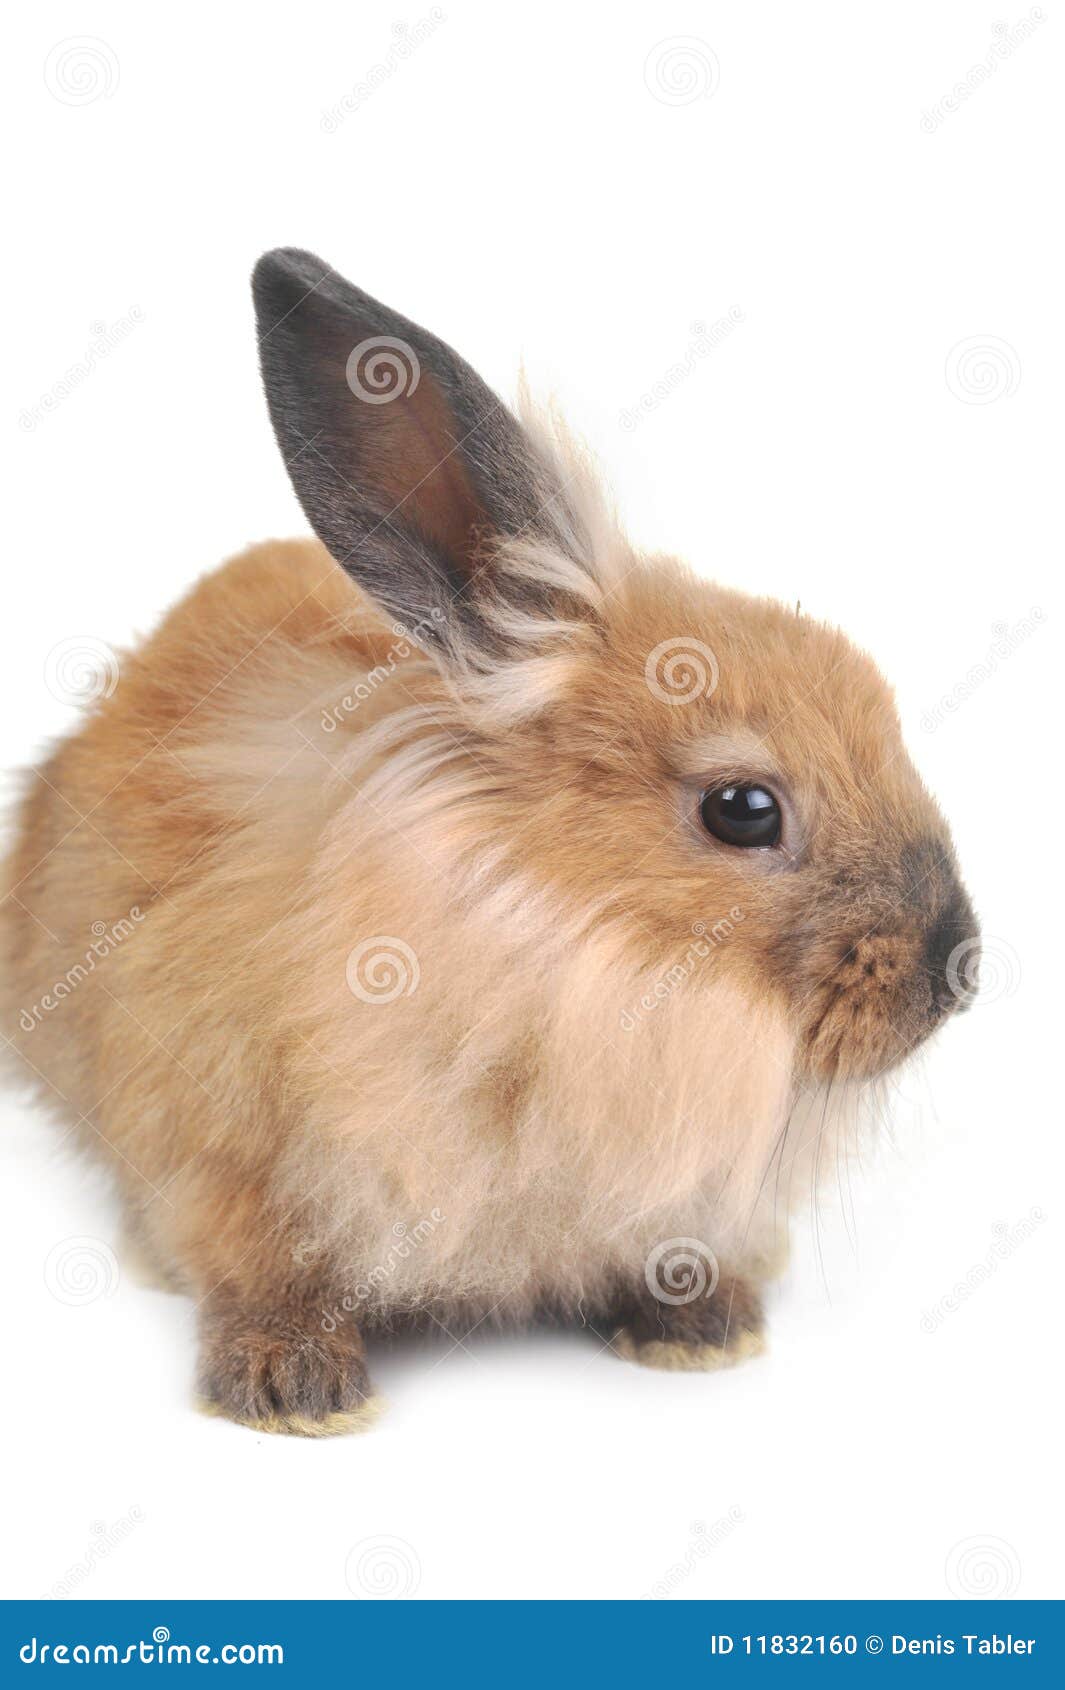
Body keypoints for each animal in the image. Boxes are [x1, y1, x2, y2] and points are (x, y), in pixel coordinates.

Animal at [1, 248, 979, 1436]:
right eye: (742, 809)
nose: (959, 964)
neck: (573, 953)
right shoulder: (214, 1145)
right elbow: (257, 1264)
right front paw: (294, 1387)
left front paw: (704, 1330)